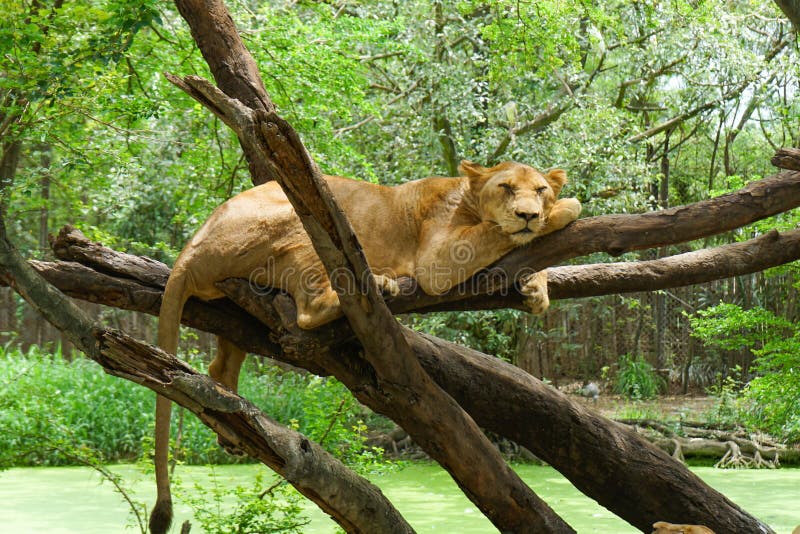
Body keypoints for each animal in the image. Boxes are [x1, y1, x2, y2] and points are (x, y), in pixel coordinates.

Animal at [148, 160, 581, 534]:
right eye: (505, 187)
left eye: (540, 189)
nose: (528, 213)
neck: (466, 196)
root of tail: (189, 248)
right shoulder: (437, 258)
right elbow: (499, 232)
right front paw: (562, 210)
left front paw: (536, 288)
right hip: (301, 222)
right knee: (307, 312)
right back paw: (379, 284)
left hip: (241, 303)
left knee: (220, 365)